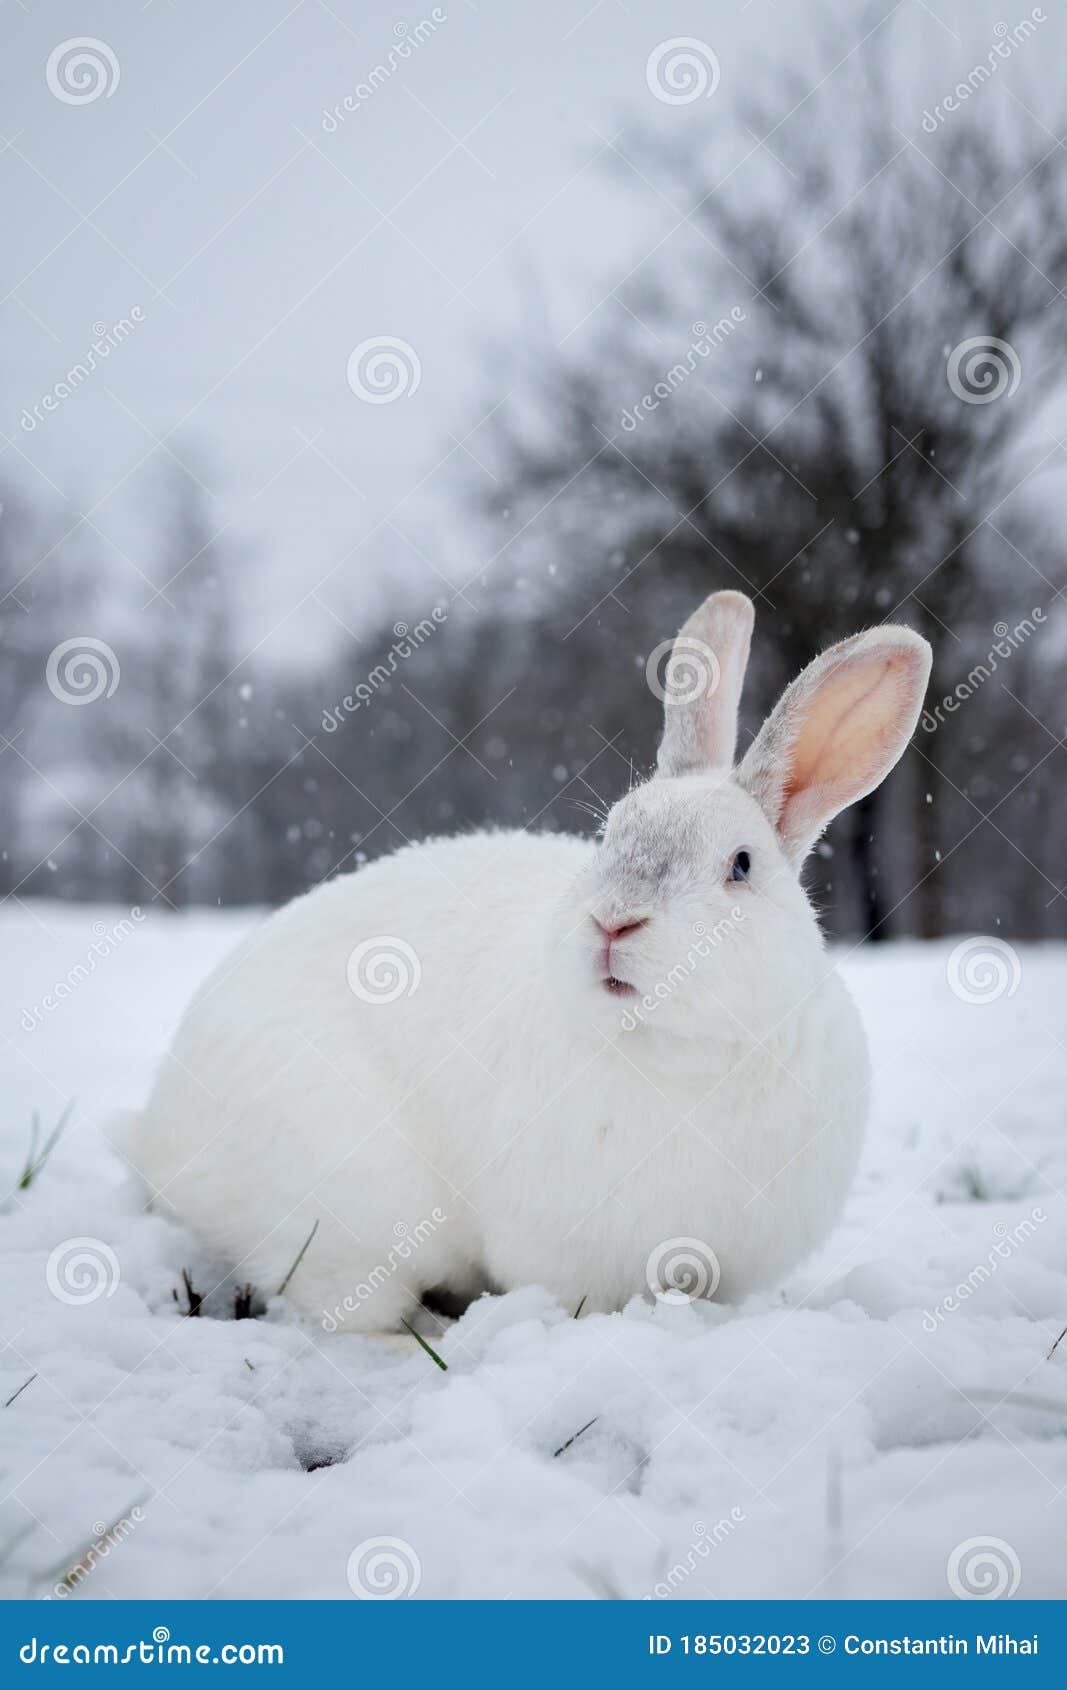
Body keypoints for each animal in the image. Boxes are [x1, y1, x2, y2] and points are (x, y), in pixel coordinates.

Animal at [118, 591, 931, 1332]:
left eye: (740, 865)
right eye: (609, 834)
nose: (613, 921)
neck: (679, 1046)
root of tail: (161, 1136)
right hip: (341, 1204)